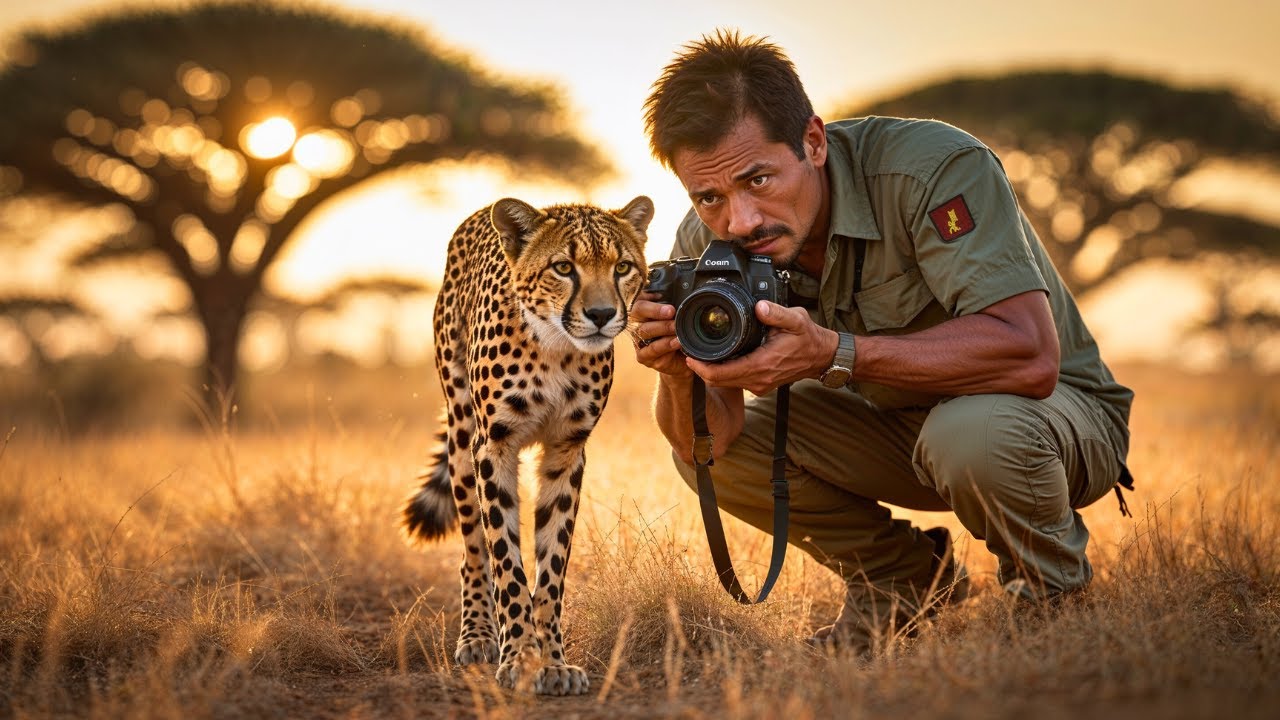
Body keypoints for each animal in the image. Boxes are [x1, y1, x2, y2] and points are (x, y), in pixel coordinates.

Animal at [402, 195, 653, 695]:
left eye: (622, 267)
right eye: (563, 267)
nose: (601, 315)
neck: (556, 348)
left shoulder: (567, 451)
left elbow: (551, 569)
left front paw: (553, 660)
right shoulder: (493, 448)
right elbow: (506, 561)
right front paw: (519, 657)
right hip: (462, 436)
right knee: (472, 550)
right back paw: (478, 635)